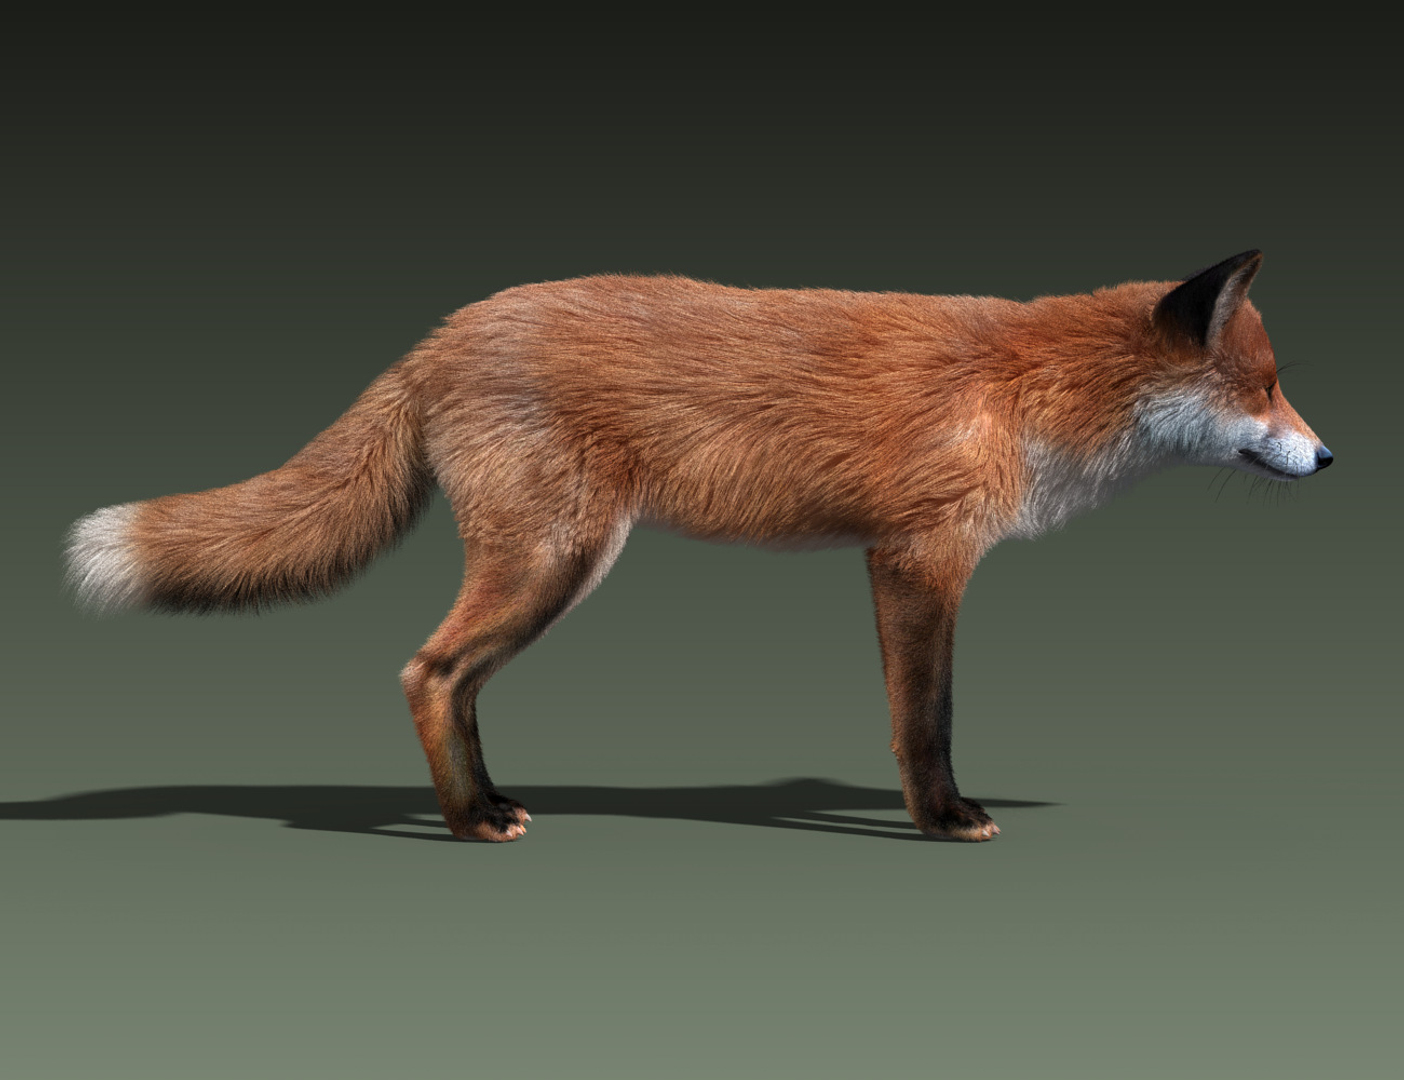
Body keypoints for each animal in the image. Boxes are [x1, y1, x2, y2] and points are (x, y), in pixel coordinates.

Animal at [66, 250, 1331, 843]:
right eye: (1262, 389)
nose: (1330, 460)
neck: (1023, 390)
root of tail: (440, 334)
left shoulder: (900, 560)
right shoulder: (918, 557)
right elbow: (924, 718)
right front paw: (941, 817)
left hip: (557, 567)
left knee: (455, 683)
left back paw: (492, 799)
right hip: (553, 562)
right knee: (428, 672)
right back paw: (468, 822)